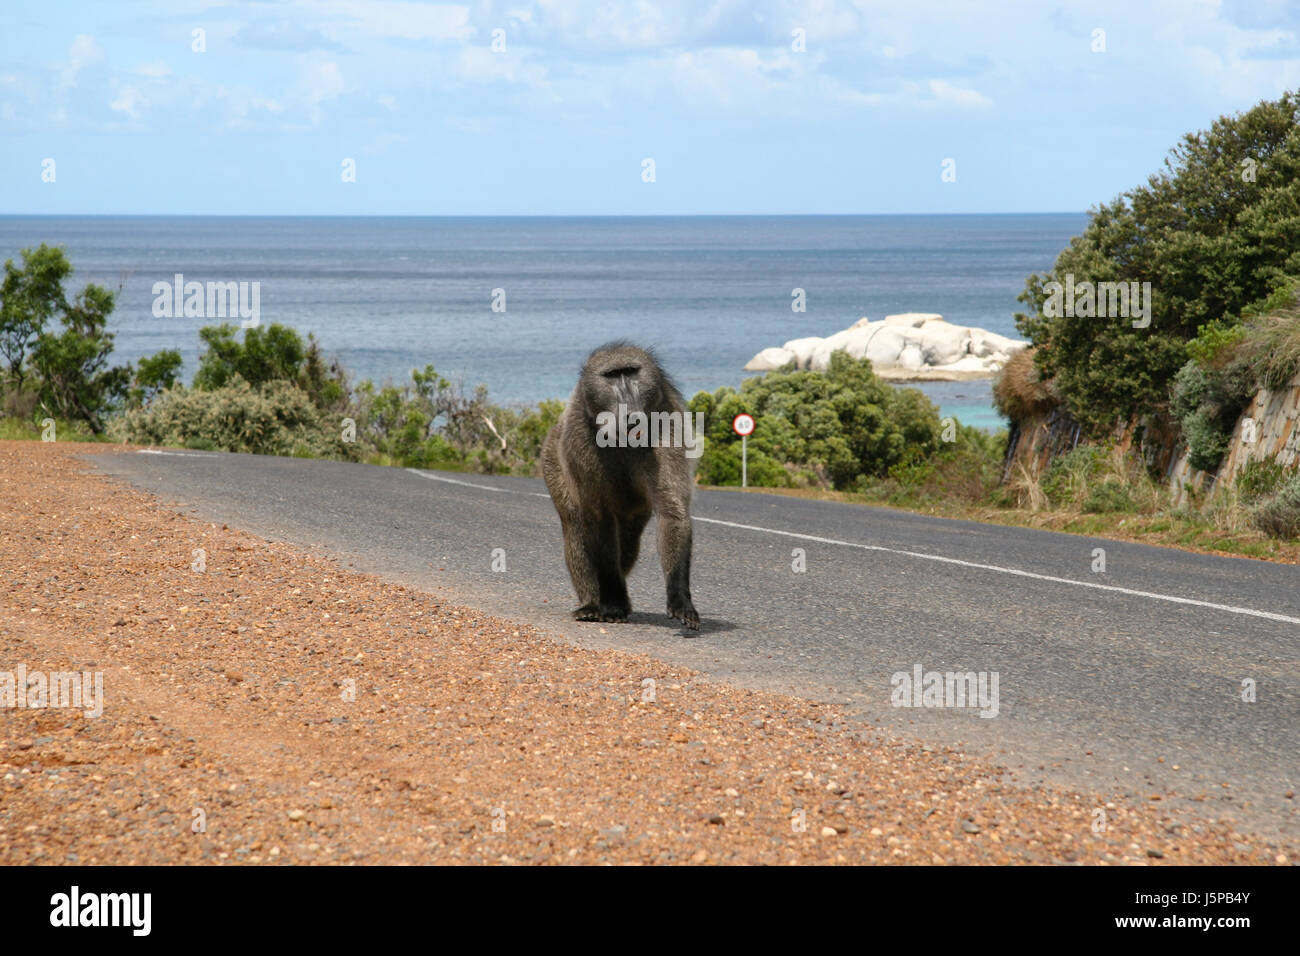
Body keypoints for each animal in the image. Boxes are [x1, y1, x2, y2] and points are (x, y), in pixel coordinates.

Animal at [540, 342, 701, 631]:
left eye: (631, 372)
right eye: (612, 376)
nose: (630, 412)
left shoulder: (668, 428)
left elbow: (672, 512)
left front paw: (680, 600)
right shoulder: (580, 441)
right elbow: (597, 518)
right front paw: (613, 604)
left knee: (627, 543)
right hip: (553, 457)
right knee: (576, 525)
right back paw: (592, 604)